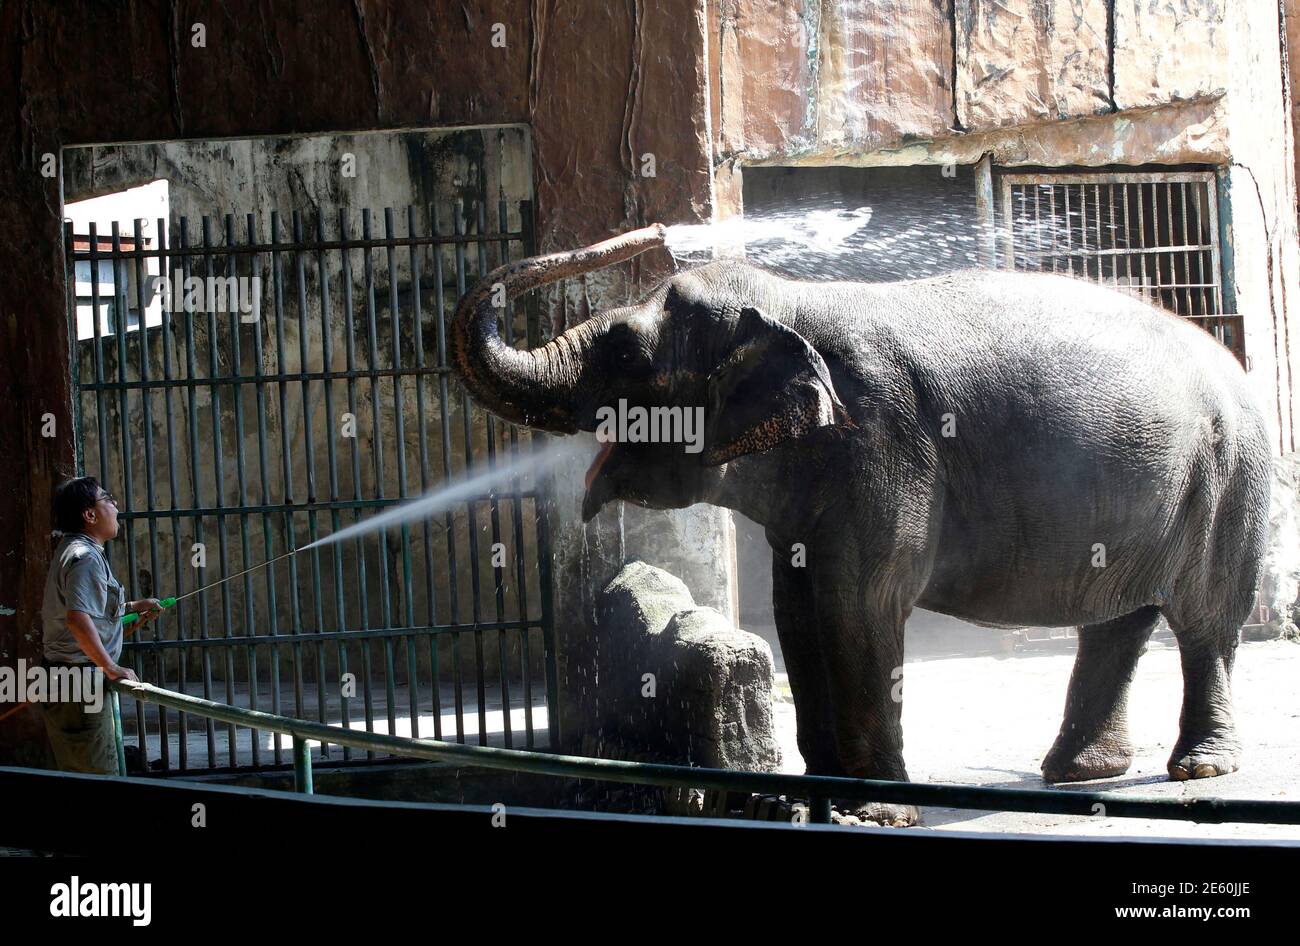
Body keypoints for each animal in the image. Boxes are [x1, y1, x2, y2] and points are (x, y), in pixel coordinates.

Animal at [450, 224, 1272, 826]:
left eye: (623, 352)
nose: (646, 232)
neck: (792, 303)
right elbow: (797, 612)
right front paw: (810, 799)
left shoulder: (883, 444)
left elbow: (859, 609)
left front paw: (878, 812)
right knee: (1117, 622)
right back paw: (1076, 773)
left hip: (1231, 479)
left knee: (1204, 623)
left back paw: (1200, 767)